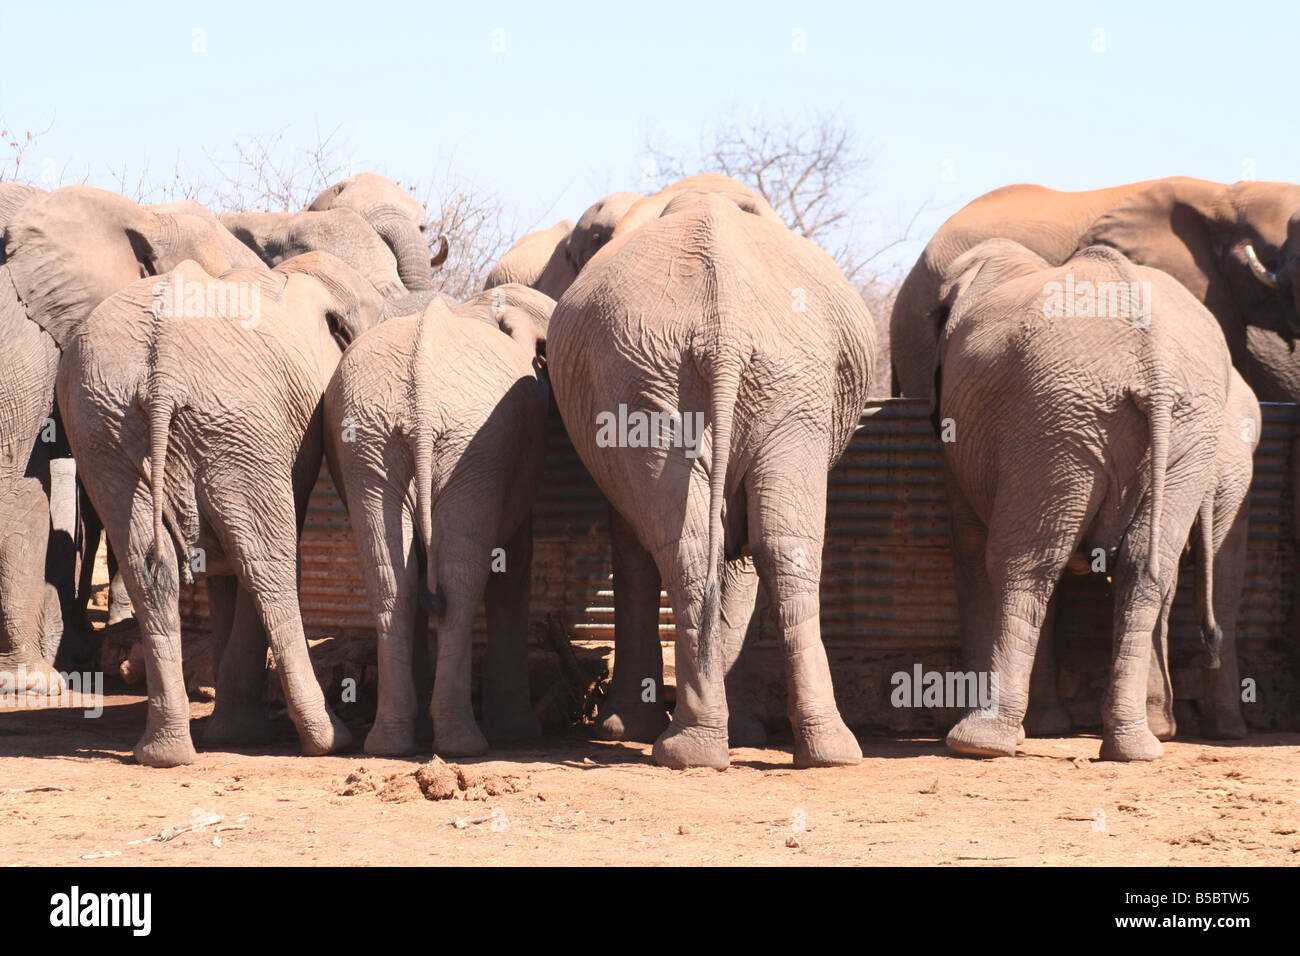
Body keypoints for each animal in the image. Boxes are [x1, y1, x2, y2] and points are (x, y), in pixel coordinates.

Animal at [56, 251, 381, 765]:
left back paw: (164, 754)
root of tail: (162, 367)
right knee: (268, 567)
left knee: (151, 568)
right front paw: (241, 737)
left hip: (105, 426)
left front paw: (225, 734)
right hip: (237, 423)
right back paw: (328, 741)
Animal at [323, 284, 552, 757]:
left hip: (372, 443)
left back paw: (391, 744)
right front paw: (518, 733)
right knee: (461, 582)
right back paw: (464, 745)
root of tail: (421, 394)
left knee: (394, 584)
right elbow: (513, 563)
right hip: (472, 444)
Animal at [548, 188, 876, 770]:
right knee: (777, 544)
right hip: (715, 384)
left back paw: (698, 749)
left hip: (734, 382)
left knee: (708, 544)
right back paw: (806, 751)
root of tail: (723, 326)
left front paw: (619, 730)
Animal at [932, 239, 1234, 761]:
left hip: (1052, 419)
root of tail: (1153, 364)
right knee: (1141, 572)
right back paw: (1135, 749)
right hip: (1179, 431)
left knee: (1021, 567)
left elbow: (971, 550)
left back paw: (976, 743)